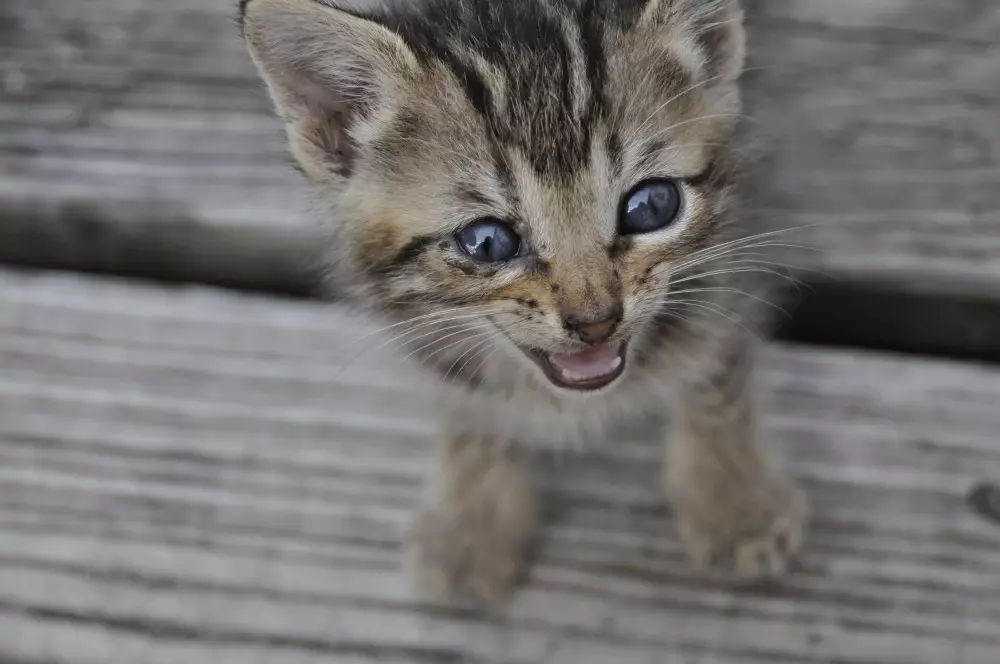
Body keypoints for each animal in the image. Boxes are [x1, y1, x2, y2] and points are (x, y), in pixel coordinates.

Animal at [240, 0, 804, 604]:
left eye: (652, 205)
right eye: (487, 242)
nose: (597, 321)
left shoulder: (735, 246)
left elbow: (718, 376)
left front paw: (736, 506)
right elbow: (467, 403)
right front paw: (472, 524)